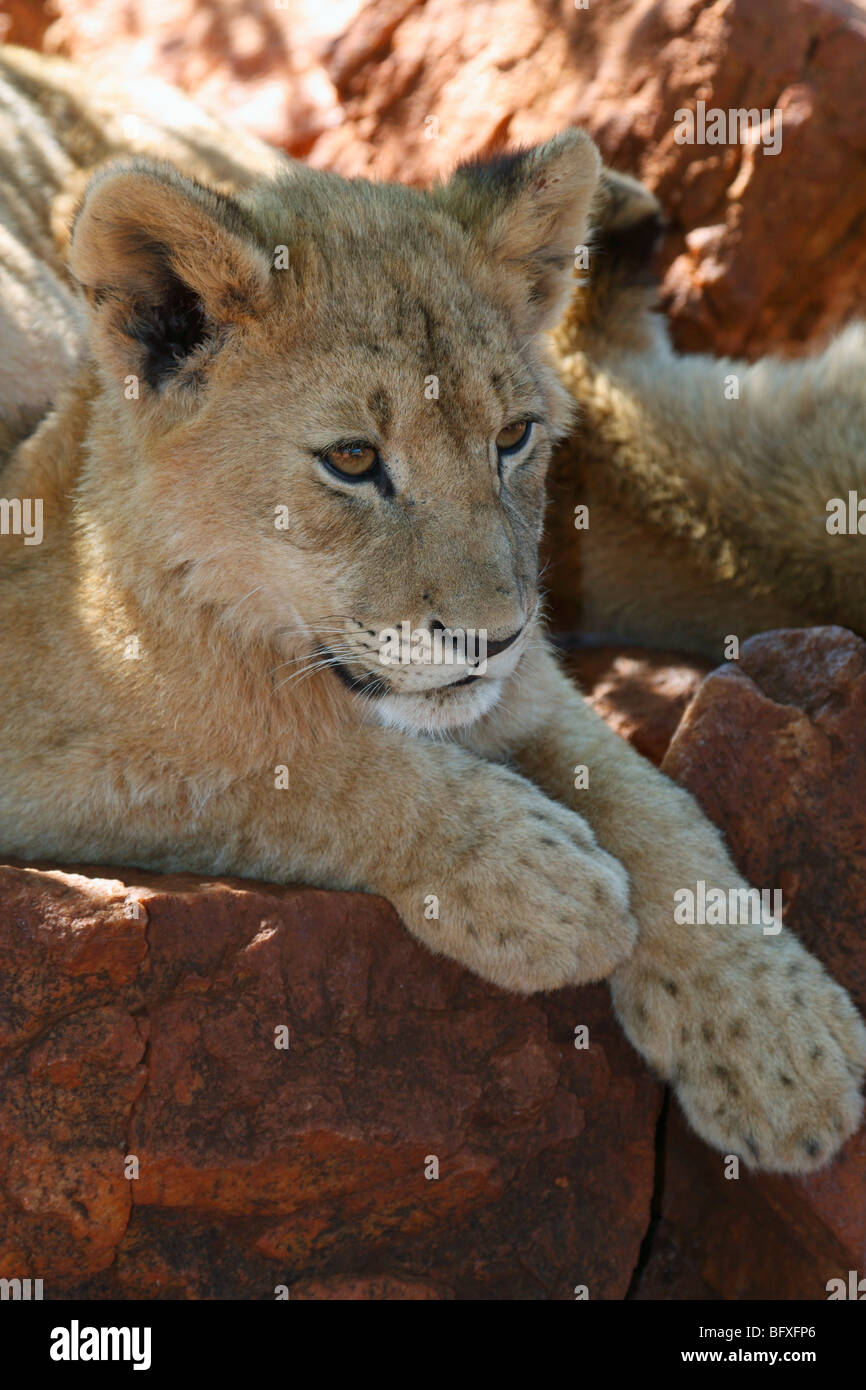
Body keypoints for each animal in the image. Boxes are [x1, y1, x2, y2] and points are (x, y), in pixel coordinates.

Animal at [1, 44, 864, 1175]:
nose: (492, 636)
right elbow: (262, 762)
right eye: (352, 459)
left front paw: (778, 1041)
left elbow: (658, 806)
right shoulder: (43, 742)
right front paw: (539, 885)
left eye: (513, 436)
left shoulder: (534, 692)